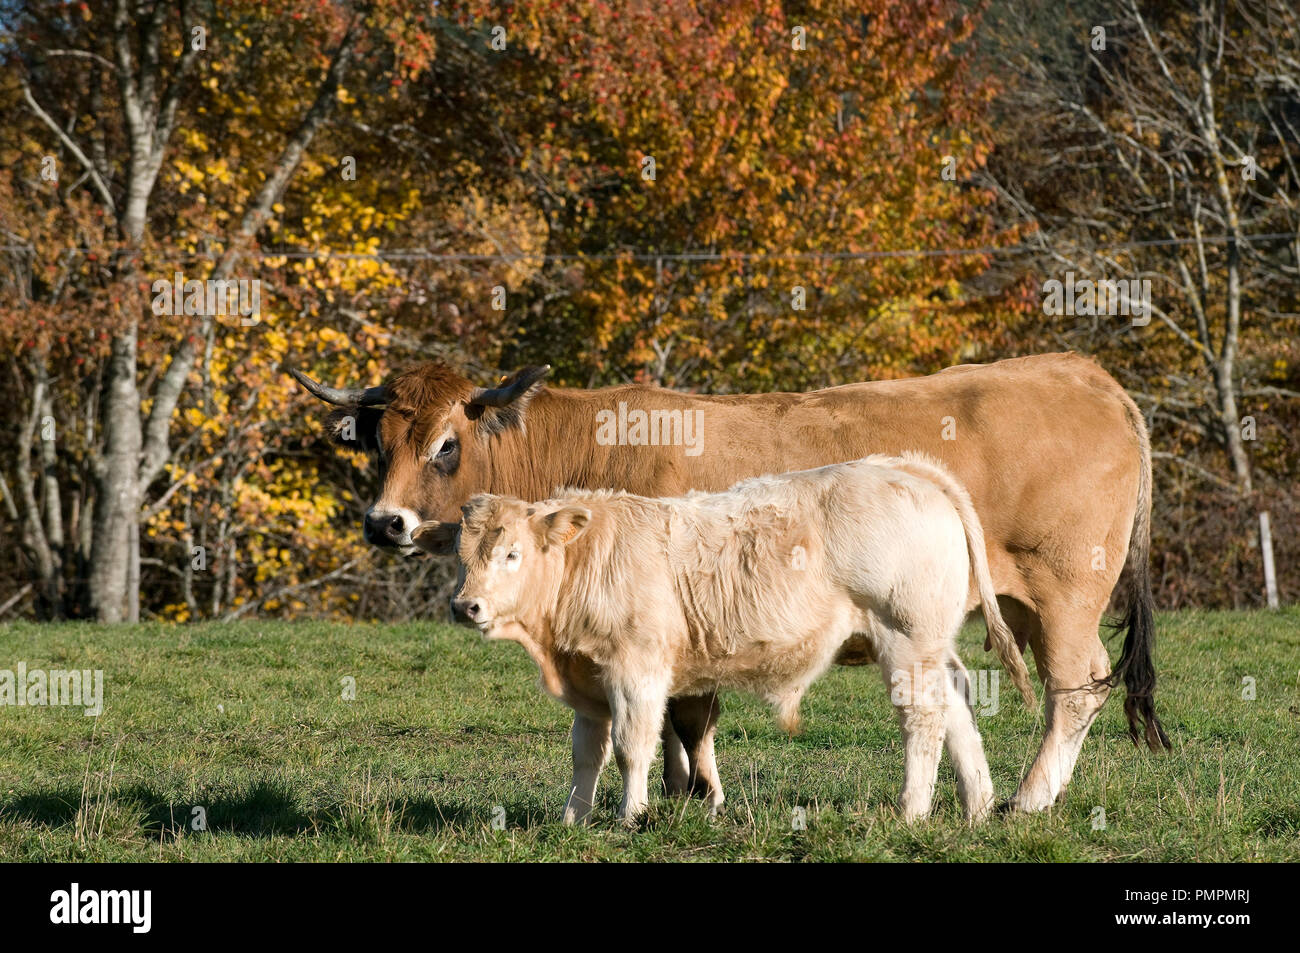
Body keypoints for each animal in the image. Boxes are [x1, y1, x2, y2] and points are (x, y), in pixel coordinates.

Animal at [411, 454, 1035, 823]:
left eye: (512, 553)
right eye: (461, 555)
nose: (465, 606)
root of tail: (905, 467)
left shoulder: (637, 669)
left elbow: (631, 746)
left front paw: (629, 818)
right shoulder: (588, 681)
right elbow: (587, 752)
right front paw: (574, 820)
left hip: (904, 637)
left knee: (923, 718)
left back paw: (912, 810)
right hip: (930, 644)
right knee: (957, 704)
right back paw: (978, 806)